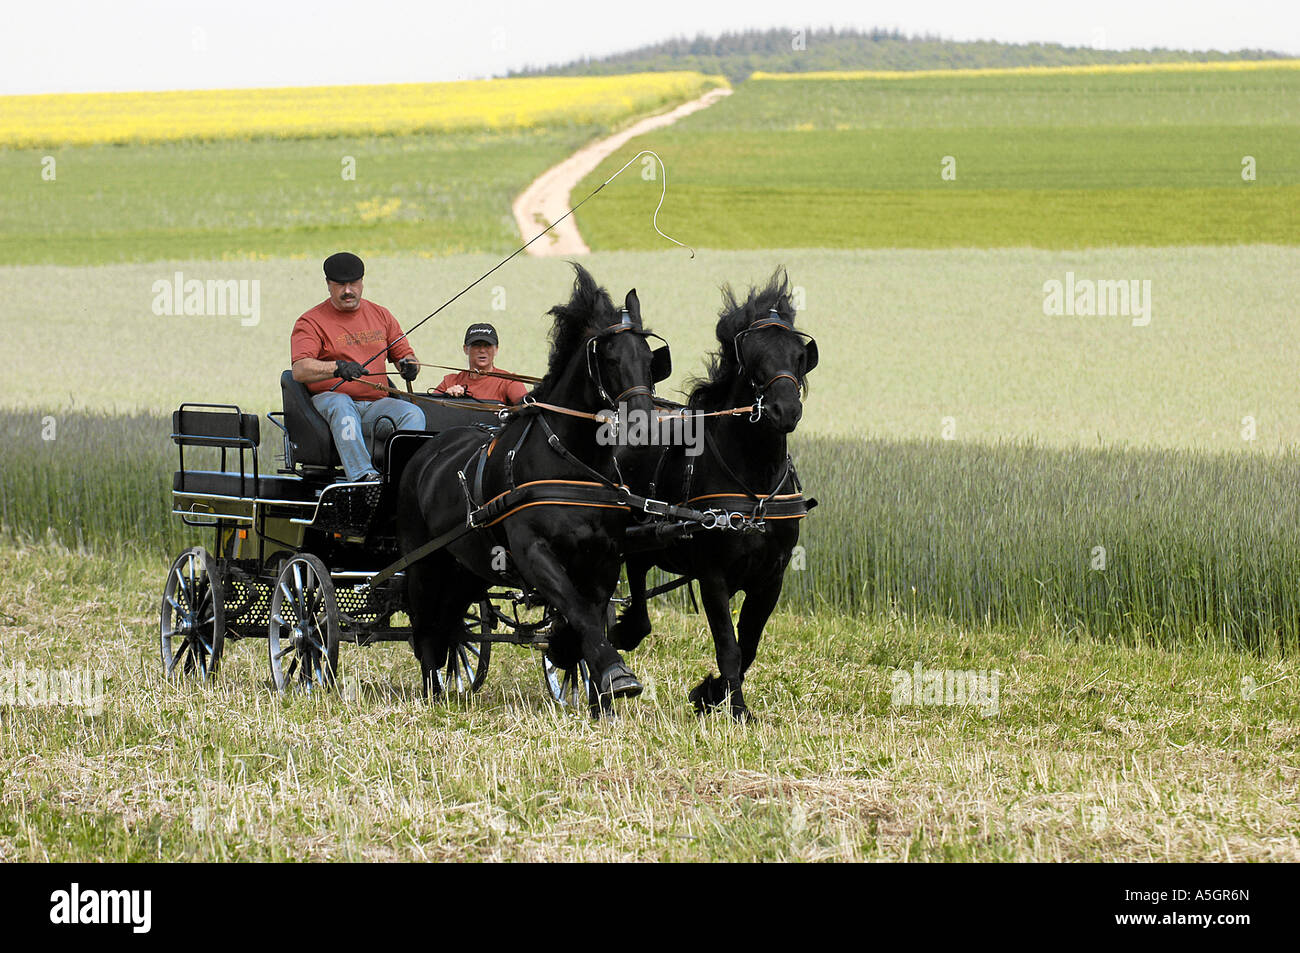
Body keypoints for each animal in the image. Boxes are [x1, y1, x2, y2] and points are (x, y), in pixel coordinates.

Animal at [396, 263, 668, 712]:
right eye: (610, 358)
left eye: (650, 359)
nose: (644, 426)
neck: (571, 466)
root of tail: (426, 450)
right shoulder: (533, 551)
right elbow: (575, 606)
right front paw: (615, 674)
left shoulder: (604, 556)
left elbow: (588, 615)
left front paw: (590, 683)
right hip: (423, 561)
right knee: (425, 628)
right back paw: (432, 690)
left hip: (466, 565)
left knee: (451, 619)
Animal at [610, 269, 818, 720]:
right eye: (752, 357)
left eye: (798, 355)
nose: (785, 410)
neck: (755, 483)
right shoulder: (713, 575)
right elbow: (728, 646)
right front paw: (736, 709)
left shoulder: (771, 577)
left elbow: (749, 645)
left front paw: (708, 693)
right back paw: (622, 634)